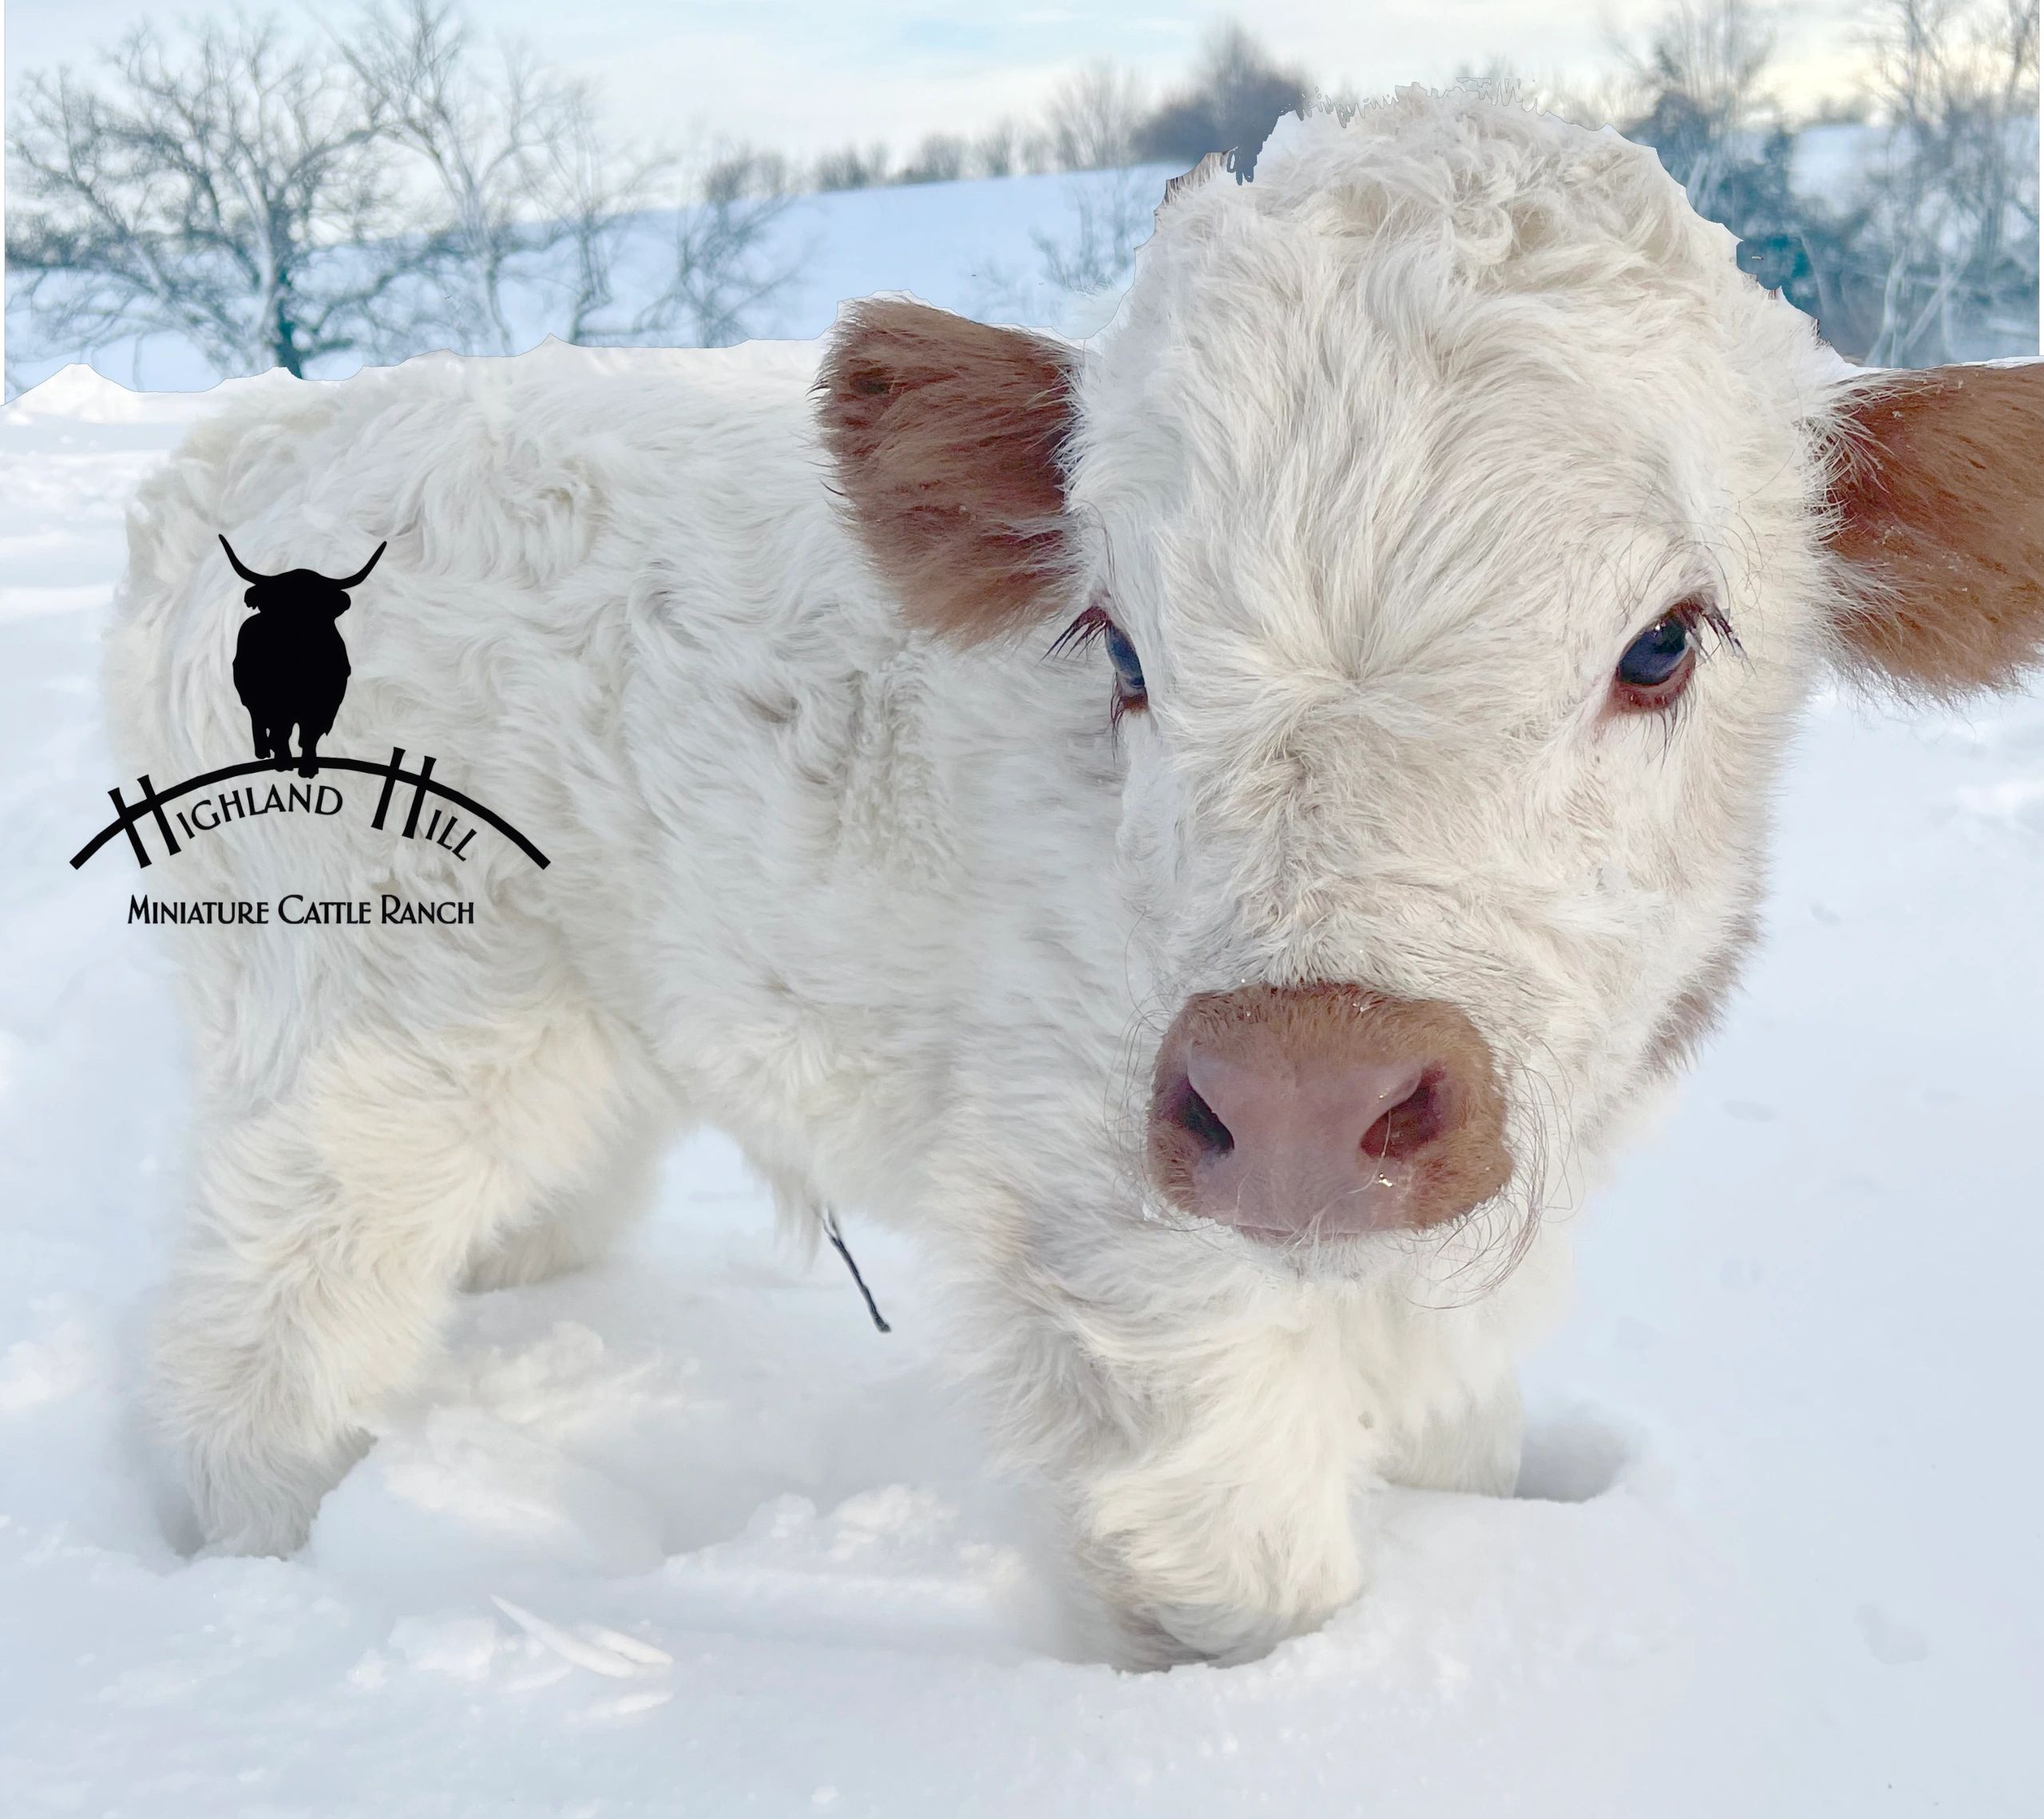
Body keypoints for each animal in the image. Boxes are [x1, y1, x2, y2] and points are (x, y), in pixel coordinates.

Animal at [220, 535, 386, 776]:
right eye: (278, 605)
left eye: (319, 606)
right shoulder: (276, 702)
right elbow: (282, 731)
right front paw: (283, 763)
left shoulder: (325, 704)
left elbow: (309, 737)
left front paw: (308, 768)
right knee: (258, 722)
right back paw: (263, 752)